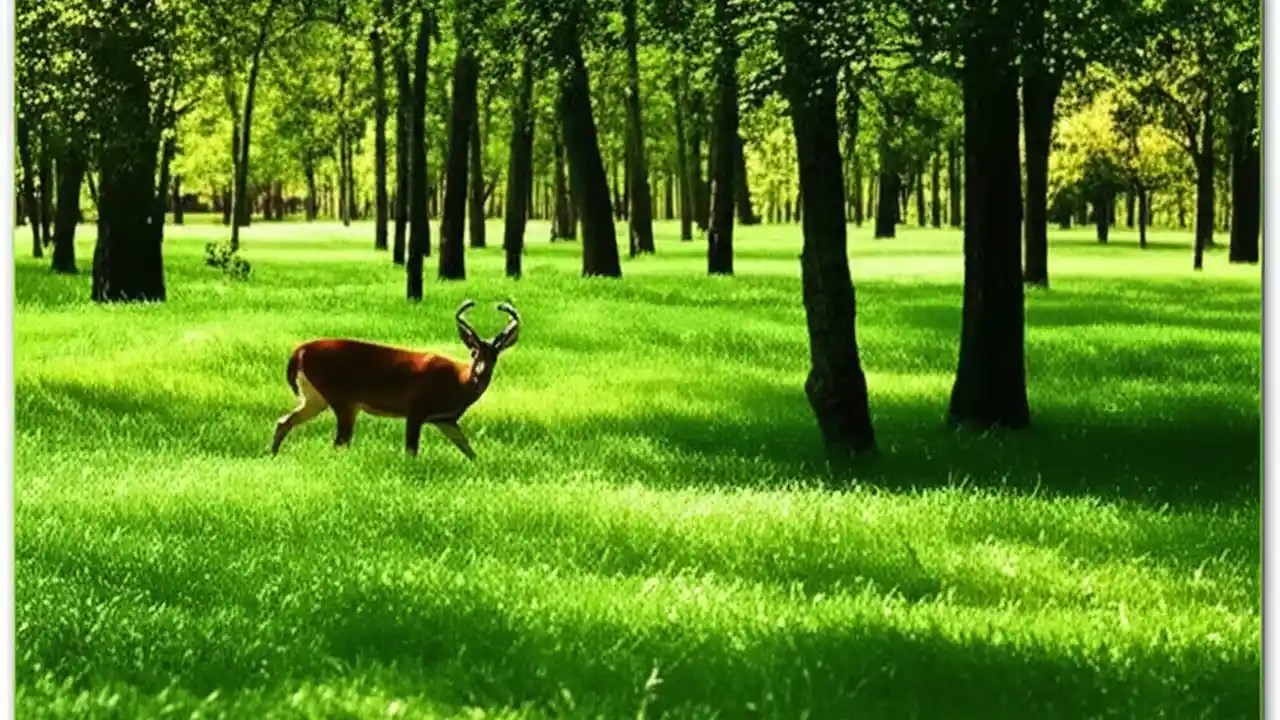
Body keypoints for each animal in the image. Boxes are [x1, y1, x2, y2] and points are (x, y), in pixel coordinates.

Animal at [271, 300, 520, 459]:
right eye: (474, 352)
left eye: (495, 355)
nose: (481, 371)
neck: (457, 383)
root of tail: (299, 351)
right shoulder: (416, 407)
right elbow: (411, 450)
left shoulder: (445, 420)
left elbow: (469, 450)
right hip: (341, 396)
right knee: (341, 440)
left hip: (315, 397)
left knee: (284, 421)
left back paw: (272, 455)